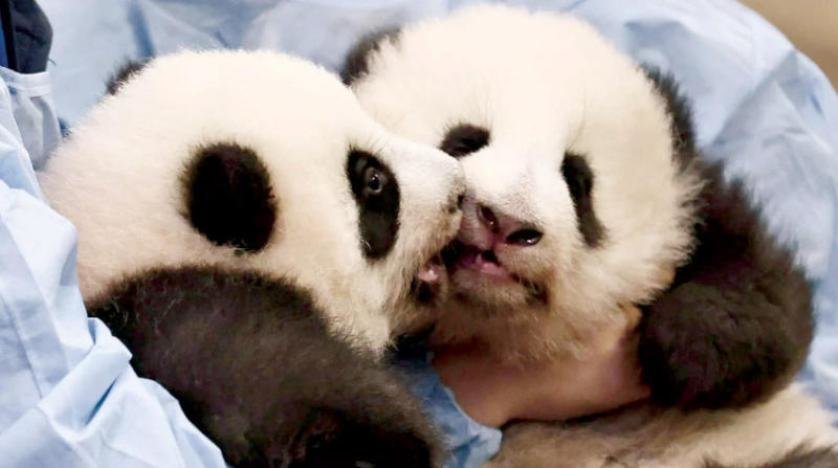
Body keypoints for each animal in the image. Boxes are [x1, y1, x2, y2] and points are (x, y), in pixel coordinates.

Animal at [342, 5, 838, 467]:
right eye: (463, 142)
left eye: (578, 181)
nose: (505, 222)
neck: (491, 328)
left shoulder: (691, 204)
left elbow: (765, 288)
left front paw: (689, 351)